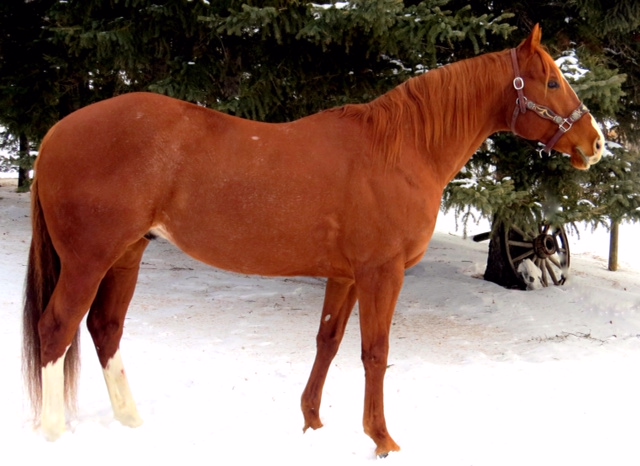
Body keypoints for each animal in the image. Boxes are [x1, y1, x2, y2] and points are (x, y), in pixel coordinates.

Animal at [23, 24, 604, 457]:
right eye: (553, 83)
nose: (595, 143)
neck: (401, 150)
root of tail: (55, 133)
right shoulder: (381, 273)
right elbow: (375, 351)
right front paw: (382, 439)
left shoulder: (344, 275)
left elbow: (328, 341)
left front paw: (312, 423)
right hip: (88, 260)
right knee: (56, 329)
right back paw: (54, 434)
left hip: (127, 254)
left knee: (105, 328)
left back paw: (132, 423)